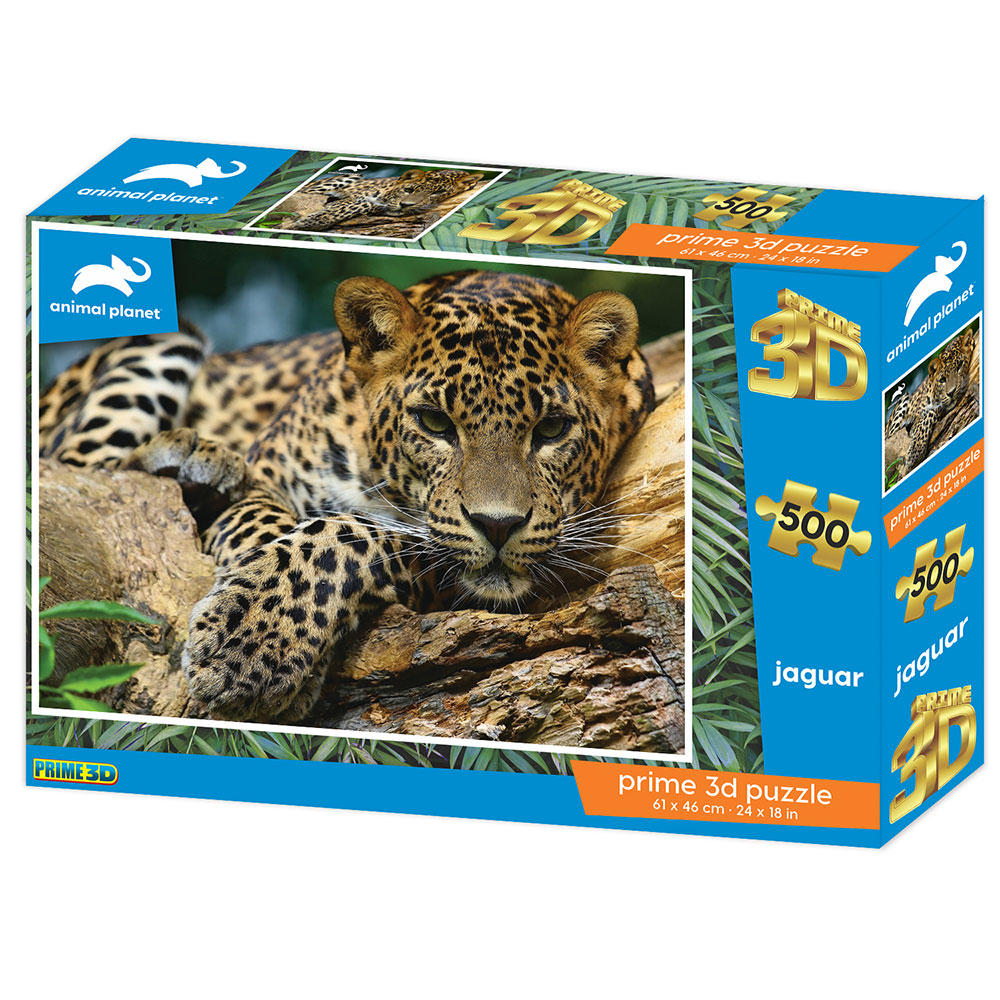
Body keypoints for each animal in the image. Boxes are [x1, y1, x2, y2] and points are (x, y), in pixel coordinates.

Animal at [39, 270, 656, 724]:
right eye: (435, 423)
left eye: (551, 429)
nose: (498, 525)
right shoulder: (265, 476)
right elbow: (274, 530)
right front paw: (252, 636)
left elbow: (347, 534)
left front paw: (250, 646)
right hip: (164, 340)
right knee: (78, 470)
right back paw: (189, 456)